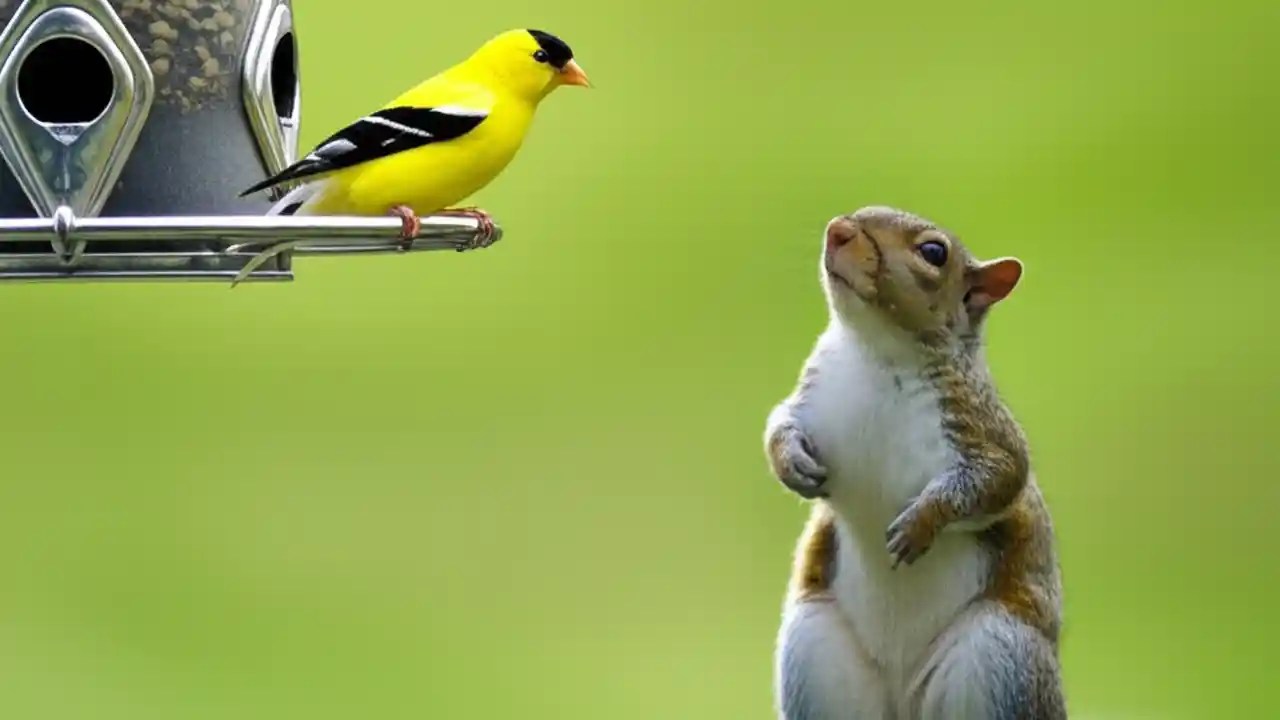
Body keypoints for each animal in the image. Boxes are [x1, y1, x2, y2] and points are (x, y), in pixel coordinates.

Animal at [763, 206, 1064, 720]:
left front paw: (922, 521)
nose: (837, 230)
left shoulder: (982, 430)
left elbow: (997, 478)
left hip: (998, 657)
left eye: (934, 252)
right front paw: (791, 463)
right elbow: (780, 423)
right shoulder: (812, 398)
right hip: (817, 653)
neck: (879, 352)